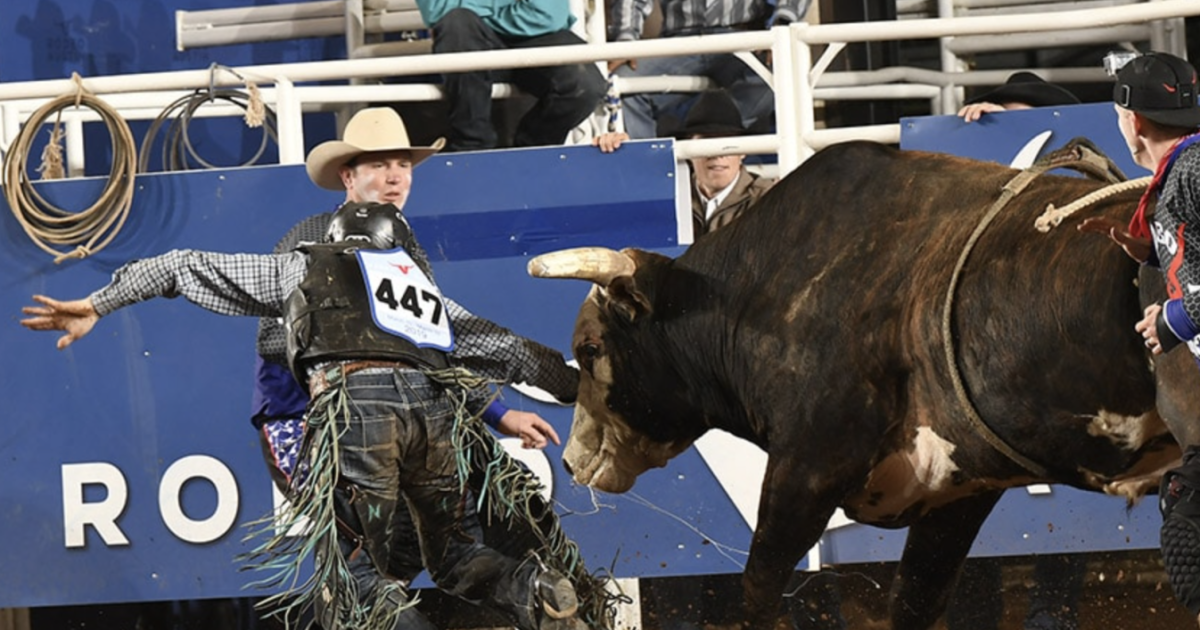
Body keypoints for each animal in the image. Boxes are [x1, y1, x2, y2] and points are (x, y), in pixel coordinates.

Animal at [527, 140, 1200, 629]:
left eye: (590, 349)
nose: (574, 457)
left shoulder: (810, 463)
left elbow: (761, 584)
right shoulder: (960, 490)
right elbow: (915, 600)